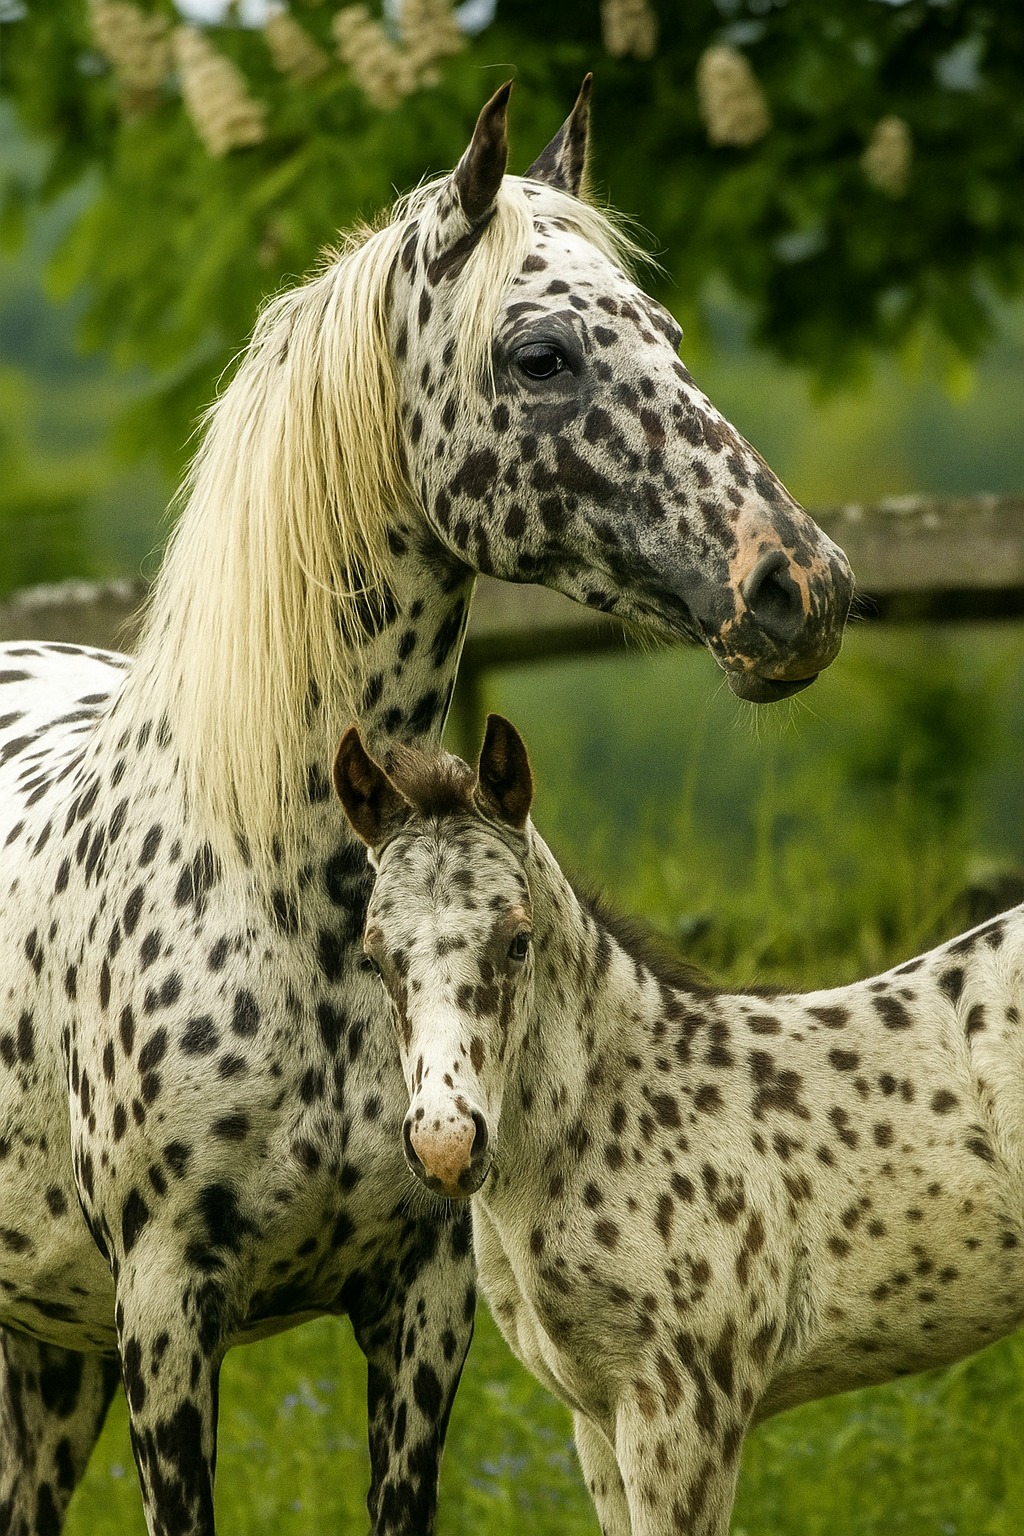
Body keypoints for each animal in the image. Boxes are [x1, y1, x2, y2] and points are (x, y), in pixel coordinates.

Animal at [0, 79, 852, 1536]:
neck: (286, 891)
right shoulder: (167, 1315)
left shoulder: (422, 1302)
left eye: (672, 337)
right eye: (542, 355)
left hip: (50, 1358)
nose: (798, 586)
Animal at [334, 713, 1024, 1536]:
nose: (445, 1142)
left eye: (517, 939)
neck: (622, 1110)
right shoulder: (596, 1420)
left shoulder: (684, 1410)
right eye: (377, 956)